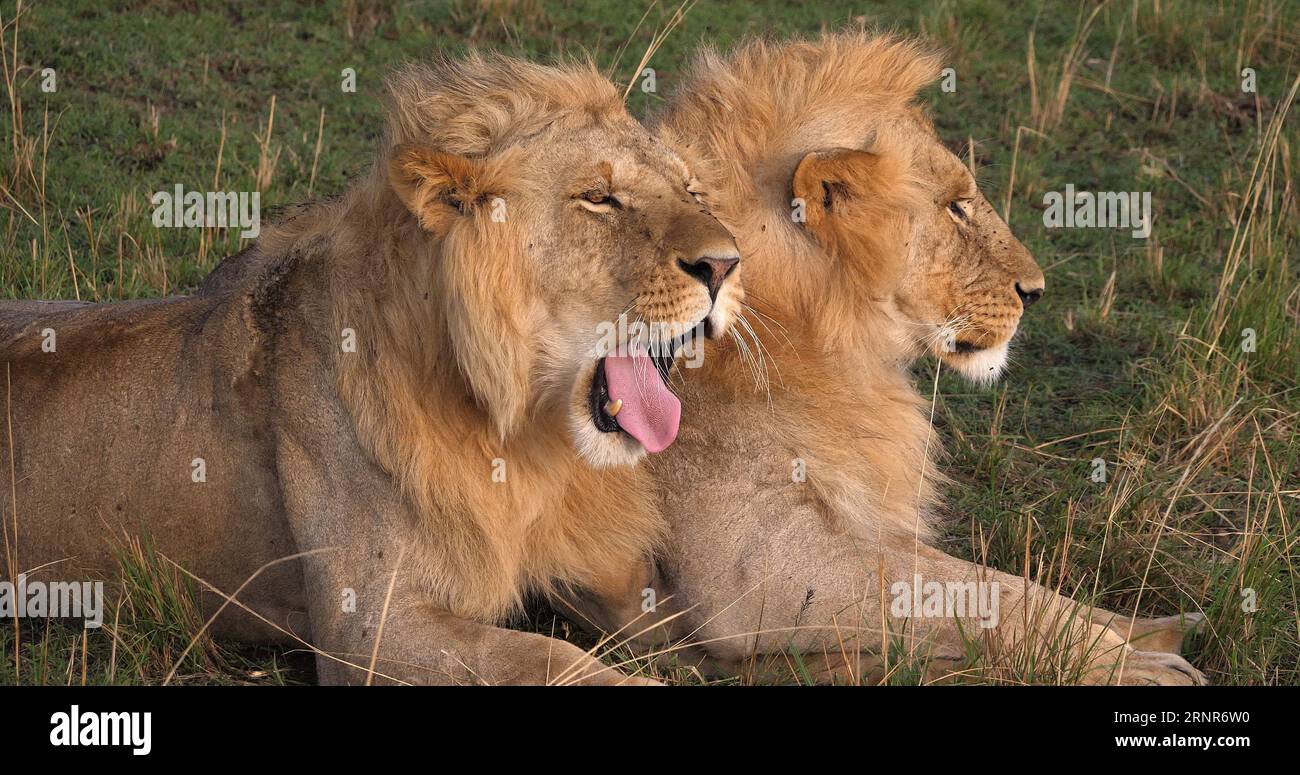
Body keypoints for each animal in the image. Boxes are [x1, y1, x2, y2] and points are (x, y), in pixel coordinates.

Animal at [0, 54, 743, 685]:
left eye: (693, 190)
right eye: (598, 197)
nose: (726, 264)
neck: (524, 434)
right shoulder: (367, 629)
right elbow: (548, 656)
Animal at [564, 33, 1205, 685]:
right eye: (955, 207)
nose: (1036, 290)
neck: (829, 342)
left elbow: (987, 577)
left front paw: (1151, 629)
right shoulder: (750, 570)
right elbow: (994, 593)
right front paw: (1126, 662)